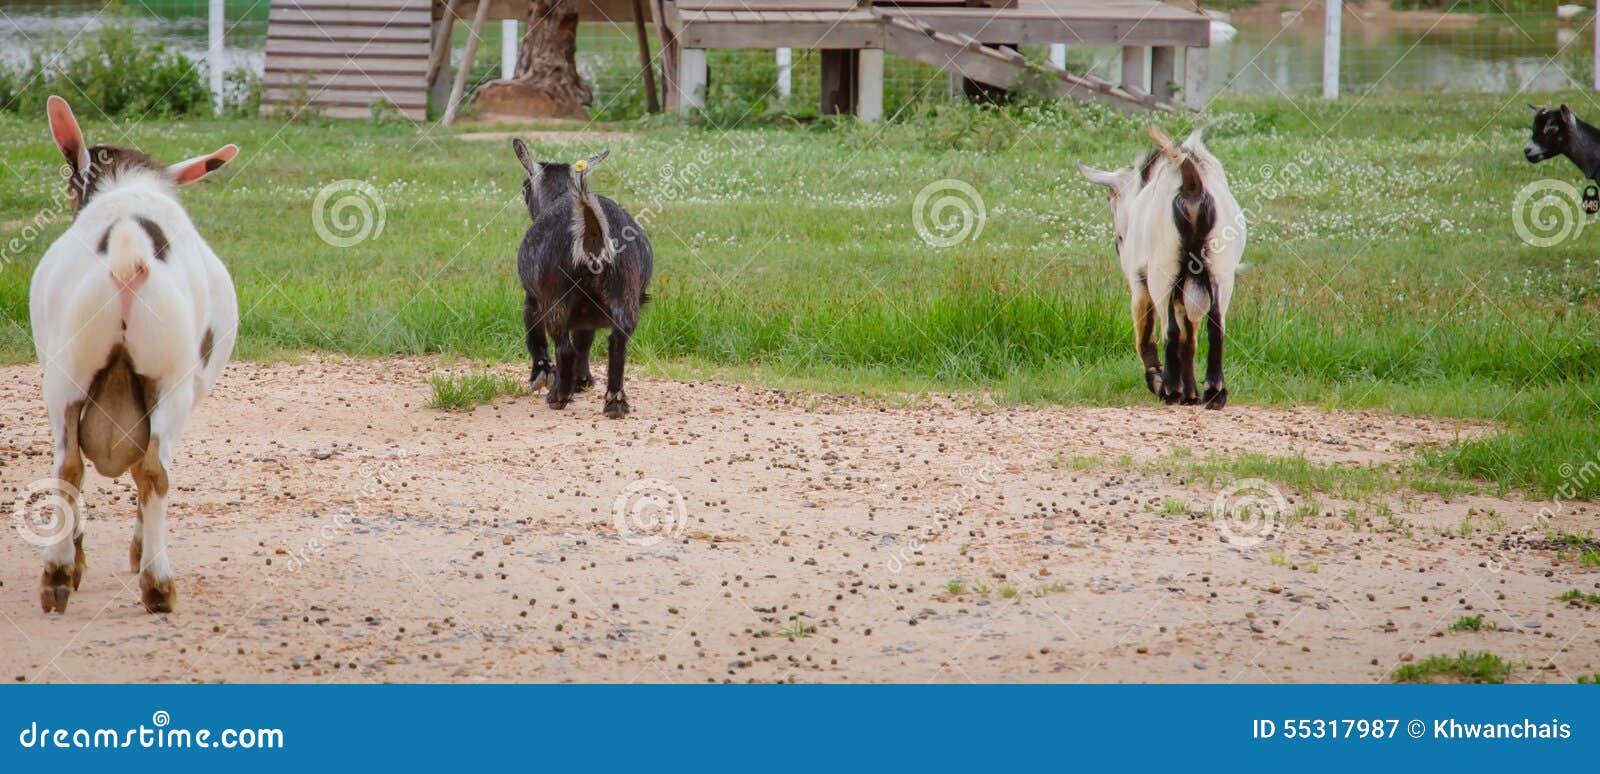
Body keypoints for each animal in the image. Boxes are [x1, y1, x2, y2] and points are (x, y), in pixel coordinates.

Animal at [30, 96, 238, 613]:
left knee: (73, 467)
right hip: (165, 382)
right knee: (146, 471)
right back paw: (153, 581)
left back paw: (64, 573)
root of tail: (129, 247)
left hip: (72, 376)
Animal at [511, 140, 652, 418]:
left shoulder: (532, 298)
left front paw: (542, 375)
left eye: (524, 187)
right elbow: (584, 342)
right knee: (617, 342)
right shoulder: (587, 315)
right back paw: (615, 401)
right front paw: (583, 380)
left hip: (554, 297)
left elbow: (535, 335)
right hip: (625, 294)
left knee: (563, 346)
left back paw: (559, 395)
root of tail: (592, 233)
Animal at [1079, 127, 1244, 408]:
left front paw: (1159, 382)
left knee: (1170, 329)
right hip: (1221, 273)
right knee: (1216, 325)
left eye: (1111, 199)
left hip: (1161, 272)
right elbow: (1190, 336)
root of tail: (1191, 181)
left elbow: (1146, 331)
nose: (1118, 241)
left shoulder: (1139, 280)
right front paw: (1191, 394)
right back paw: (1214, 392)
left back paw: (1170, 389)